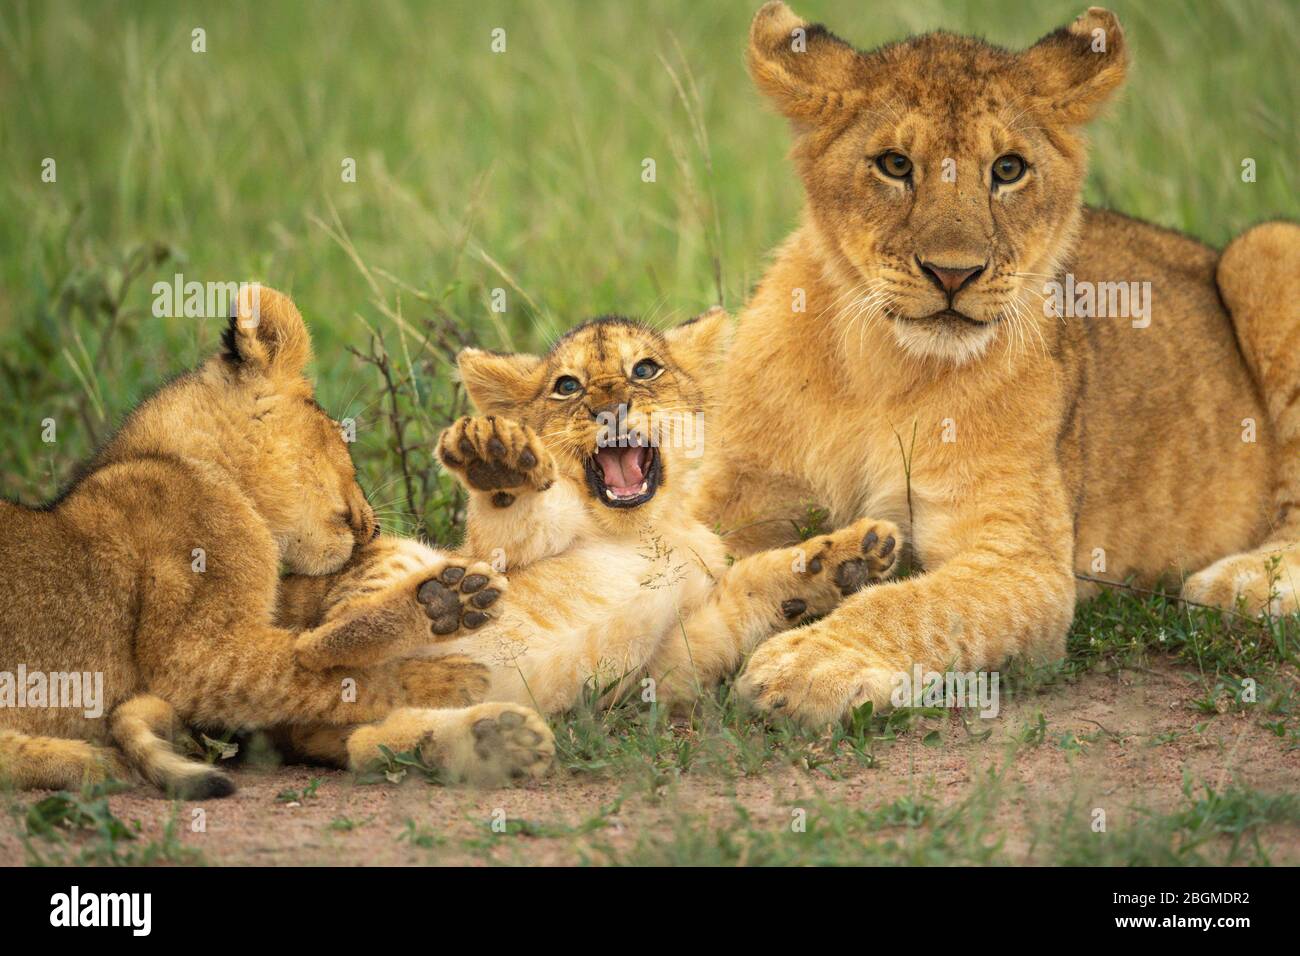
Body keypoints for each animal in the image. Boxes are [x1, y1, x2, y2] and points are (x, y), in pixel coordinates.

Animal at [0, 285, 552, 796]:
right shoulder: (194, 653)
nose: (373, 527)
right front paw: (442, 657)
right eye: (340, 435)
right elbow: (317, 674)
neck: (192, 464)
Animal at [270, 311, 899, 746]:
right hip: (386, 568)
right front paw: (495, 456)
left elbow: (752, 583)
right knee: (318, 644)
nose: (610, 407)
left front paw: (853, 557)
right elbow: (515, 516)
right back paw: (442, 606)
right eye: (568, 385)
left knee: (372, 742)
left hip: (382, 720)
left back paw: (494, 739)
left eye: (644, 369)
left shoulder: (668, 664)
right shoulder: (499, 552)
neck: (644, 530)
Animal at [686, 3, 1300, 725]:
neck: (879, 369)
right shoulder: (737, 492)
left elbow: (915, 604)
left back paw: (1239, 582)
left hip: (1266, 247)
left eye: (1008, 169)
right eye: (894, 164)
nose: (954, 273)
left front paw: (808, 663)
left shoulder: (1023, 561)